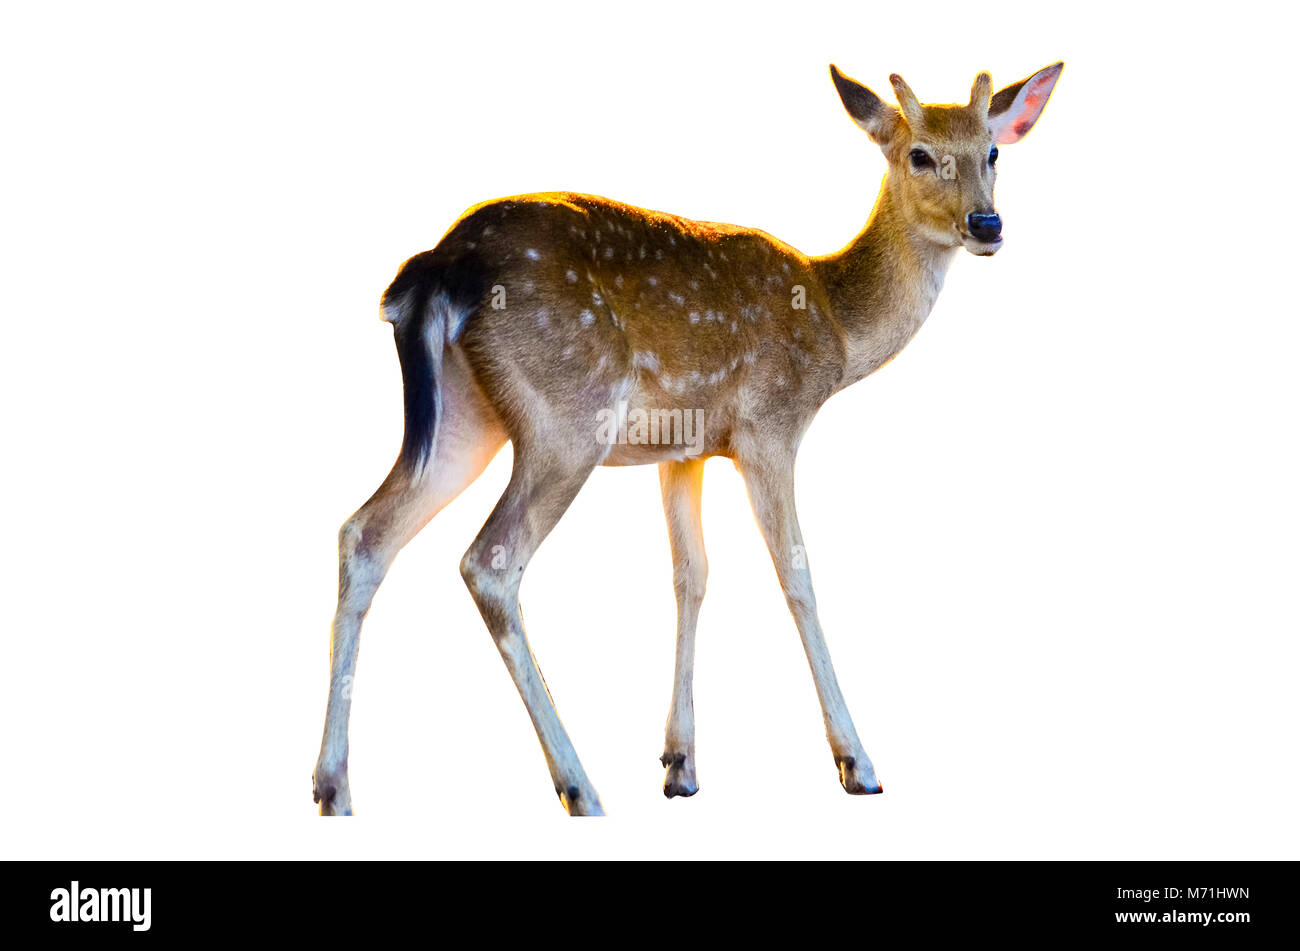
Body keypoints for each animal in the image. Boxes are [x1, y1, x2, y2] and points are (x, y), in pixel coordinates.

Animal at [313, 61, 1064, 816]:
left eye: (992, 153)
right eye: (919, 155)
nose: (987, 223)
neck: (836, 326)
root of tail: (436, 265)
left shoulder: (684, 450)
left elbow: (691, 575)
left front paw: (680, 764)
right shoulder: (770, 425)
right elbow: (796, 573)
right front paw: (858, 762)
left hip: (464, 422)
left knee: (363, 532)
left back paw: (333, 786)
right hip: (567, 416)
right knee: (487, 560)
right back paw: (581, 787)